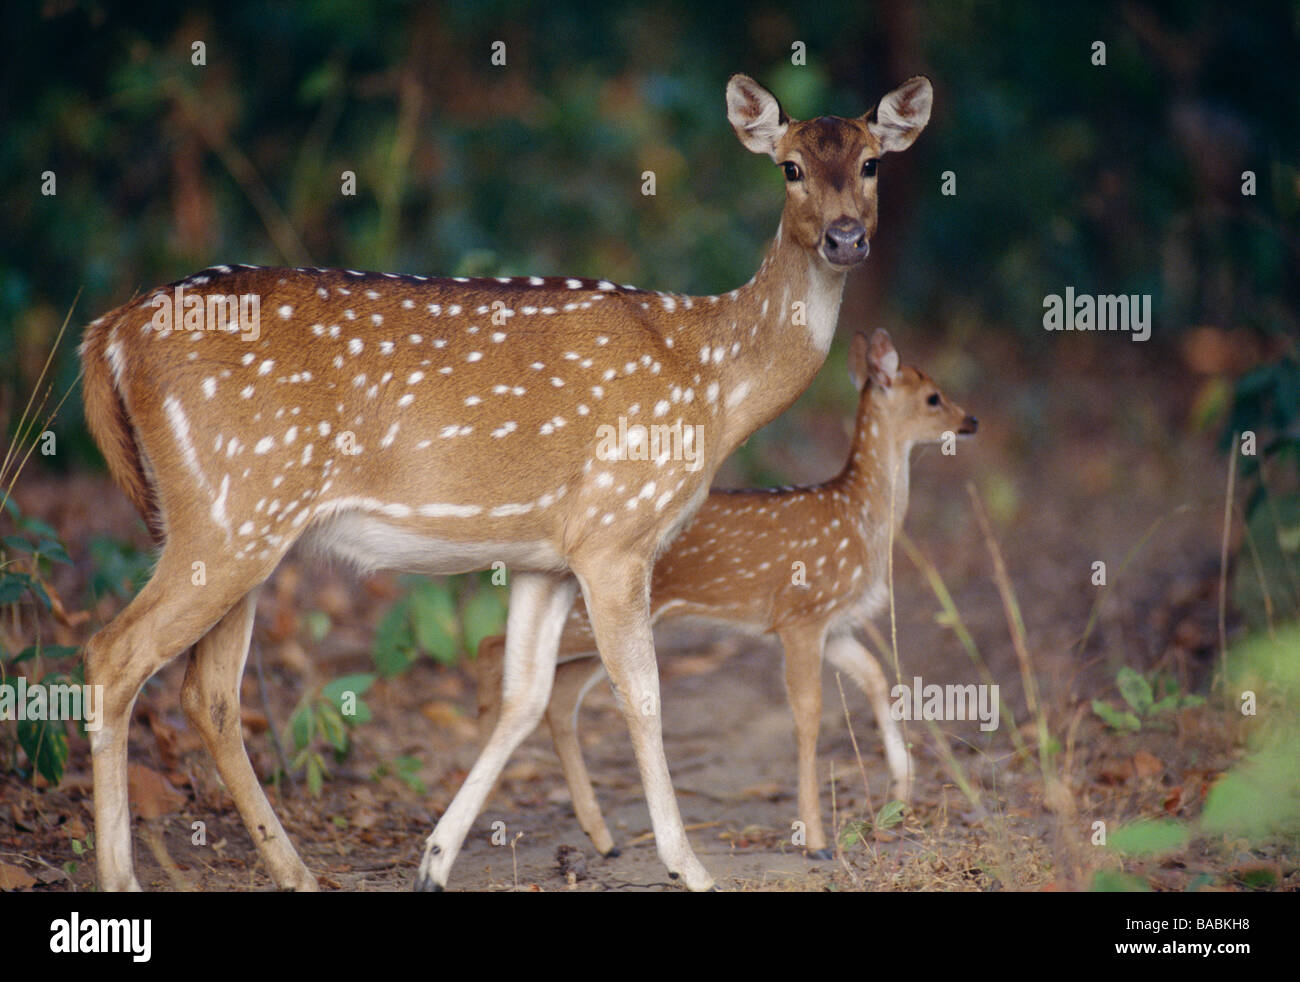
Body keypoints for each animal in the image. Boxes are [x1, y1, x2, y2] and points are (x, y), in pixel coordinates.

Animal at [477, 328, 976, 859]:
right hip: (590, 616)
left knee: (559, 695)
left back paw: (602, 836)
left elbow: (877, 678)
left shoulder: (835, 624)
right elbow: (809, 715)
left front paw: (901, 791)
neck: (860, 521)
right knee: (492, 648)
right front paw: (816, 840)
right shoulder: (802, 615)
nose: (971, 420)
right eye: (933, 396)